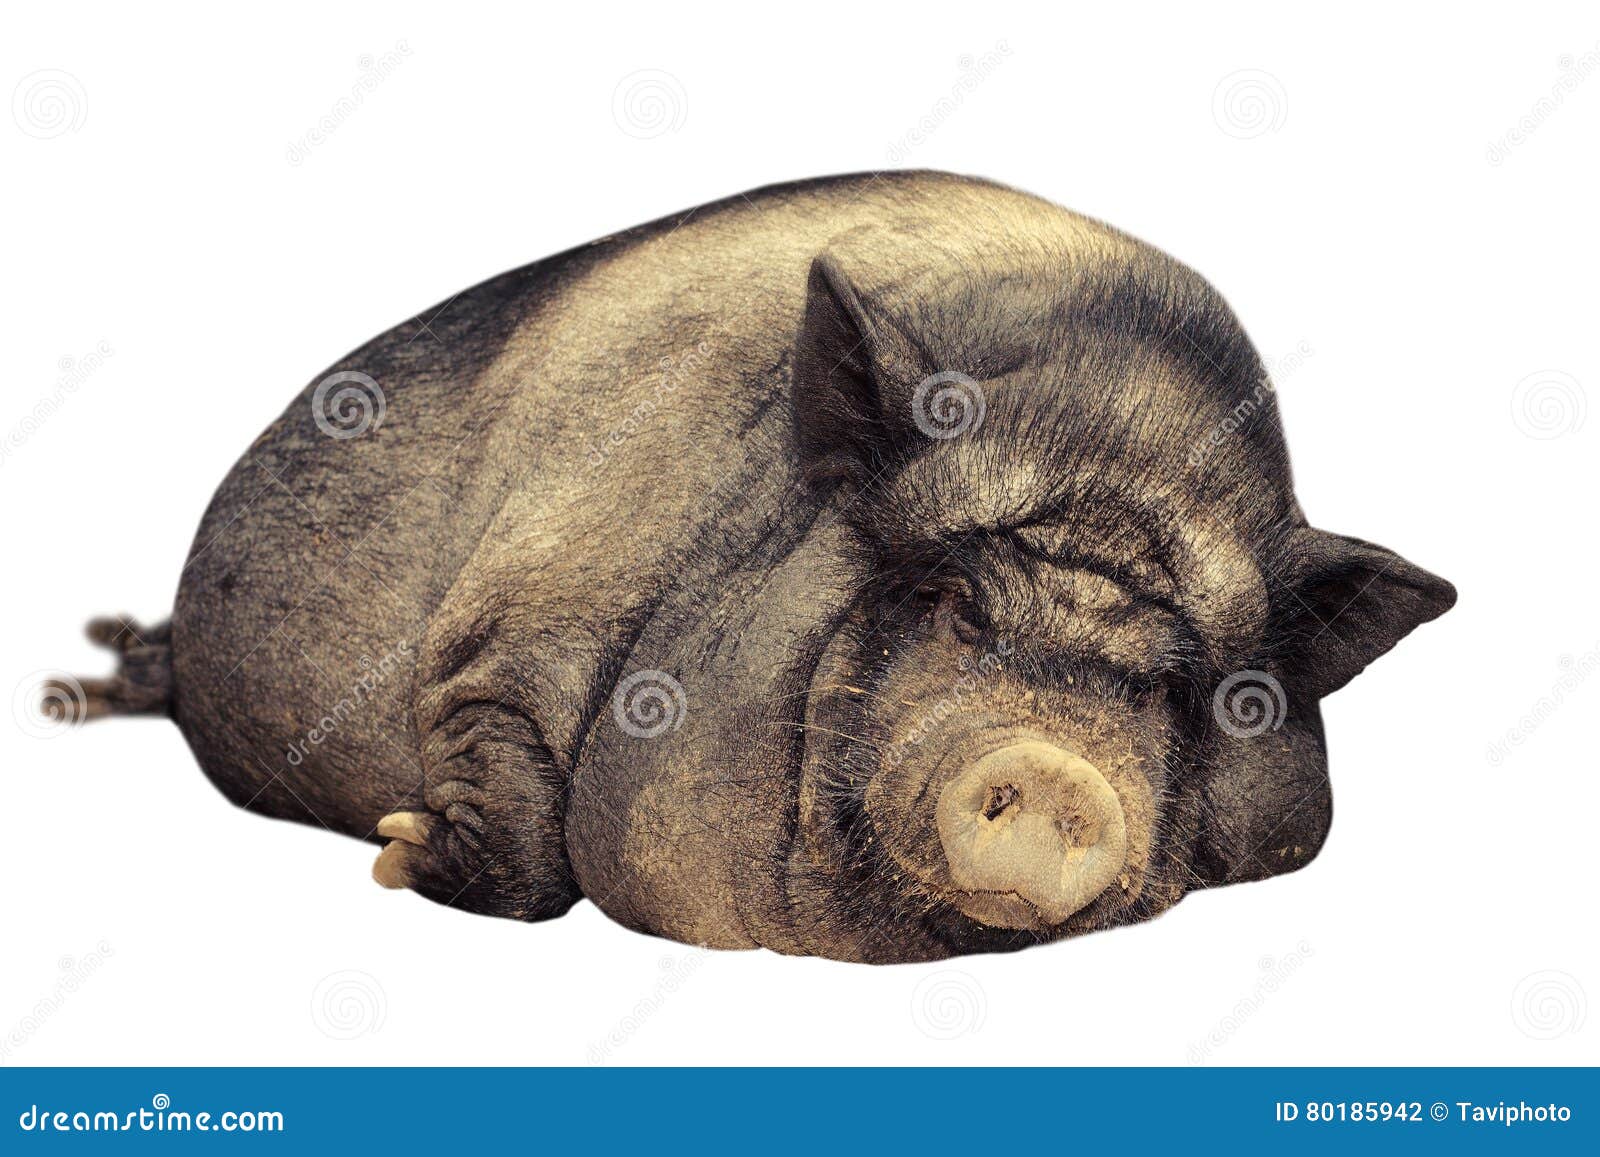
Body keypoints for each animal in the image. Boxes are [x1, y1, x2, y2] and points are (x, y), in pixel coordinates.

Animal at [51, 171, 1454, 962]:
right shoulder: (512, 623)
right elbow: (508, 787)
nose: (1054, 766)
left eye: (1172, 684)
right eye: (947, 600)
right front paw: (397, 851)